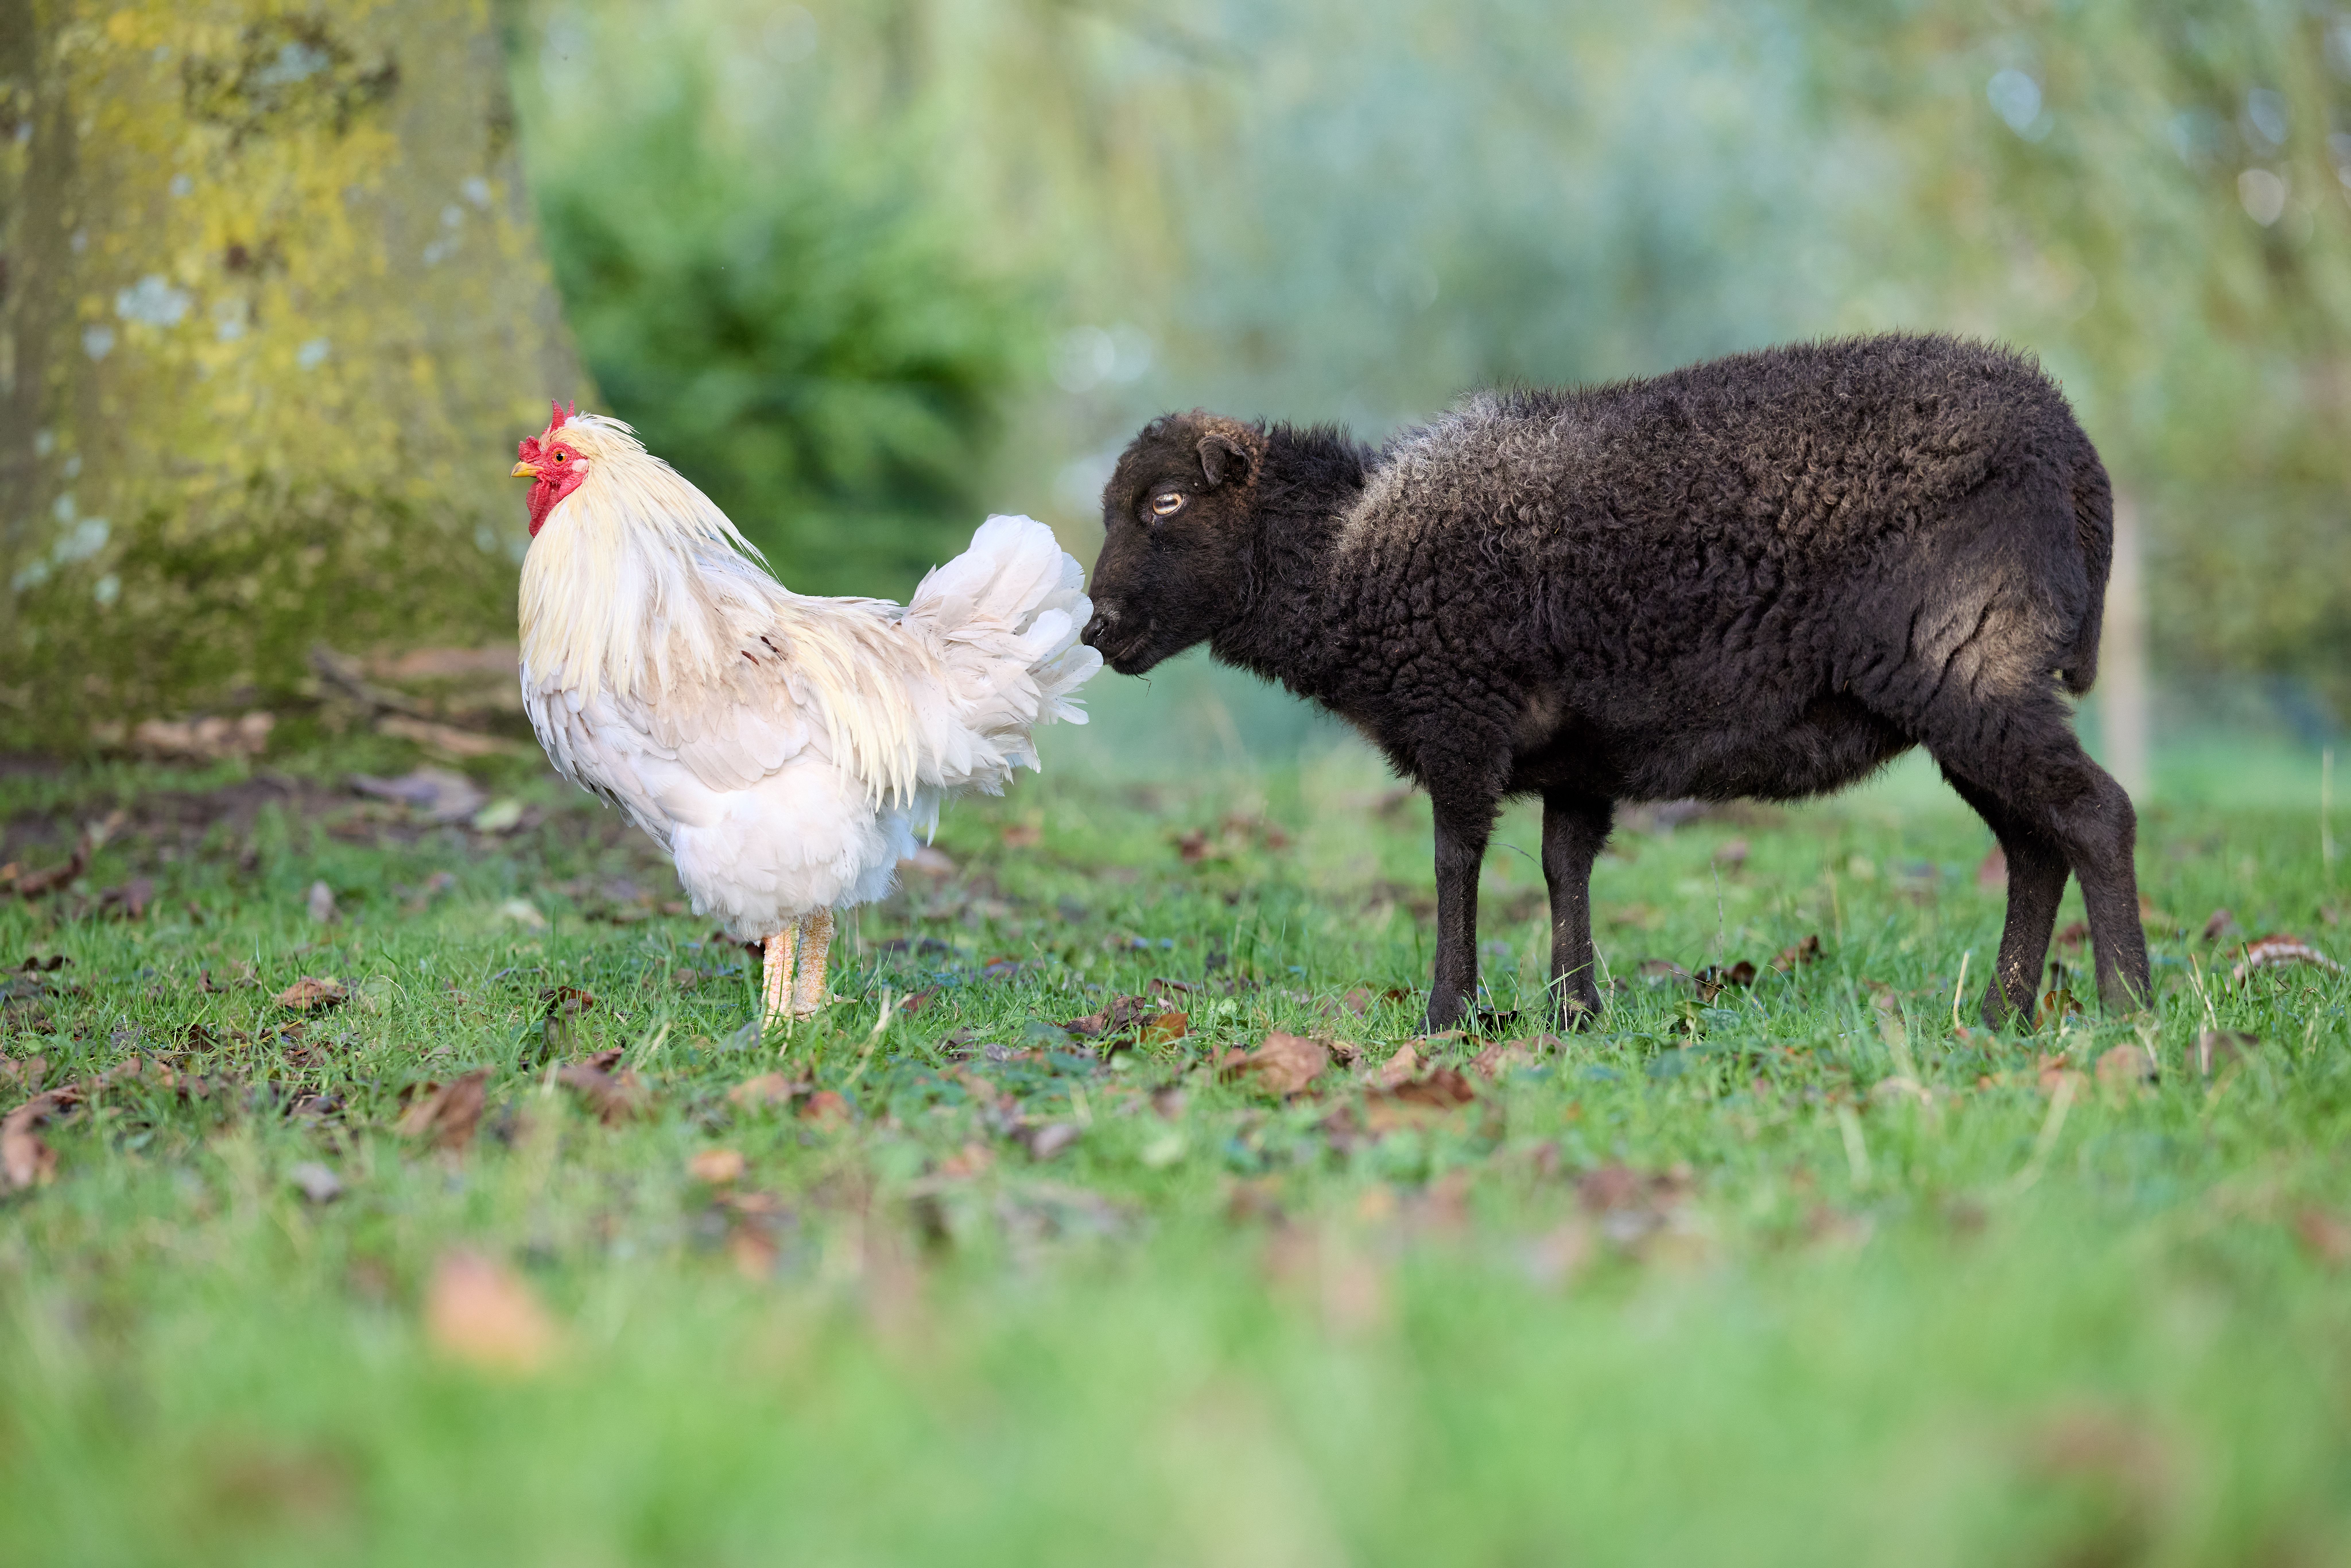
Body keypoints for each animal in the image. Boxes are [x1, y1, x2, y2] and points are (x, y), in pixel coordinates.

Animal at [1080, 333, 2151, 1033]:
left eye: (1165, 501)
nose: (1097, 628)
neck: (1353, 556)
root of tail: (2077, 456)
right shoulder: (1575, 755)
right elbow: (1567, 868)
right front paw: (1575, 1011)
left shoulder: (1458, 712)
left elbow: (1455, 863)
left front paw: (1446, 1015)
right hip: (1968, 686)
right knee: (2033, 843)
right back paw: (2003, 1016)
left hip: (1971, 658)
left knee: (2093, 814)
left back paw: (2126, 1010)